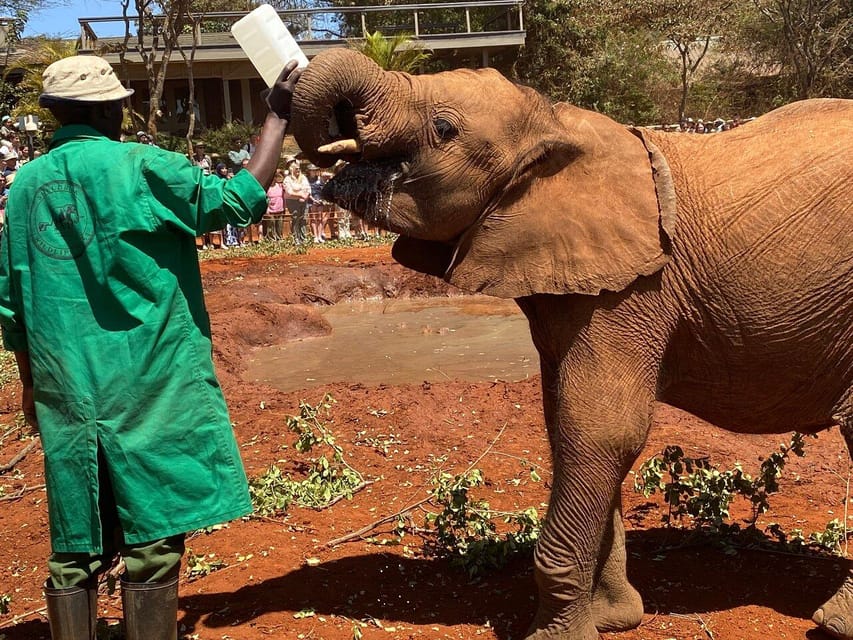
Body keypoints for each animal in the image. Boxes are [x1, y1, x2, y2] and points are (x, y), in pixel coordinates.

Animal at [289, 48, 853, 639]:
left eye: (444, 129)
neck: (555, 123)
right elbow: (565, 425)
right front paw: (613, 619)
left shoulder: (633, 291)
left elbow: (602, 430)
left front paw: (559, 633)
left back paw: (834, 624)